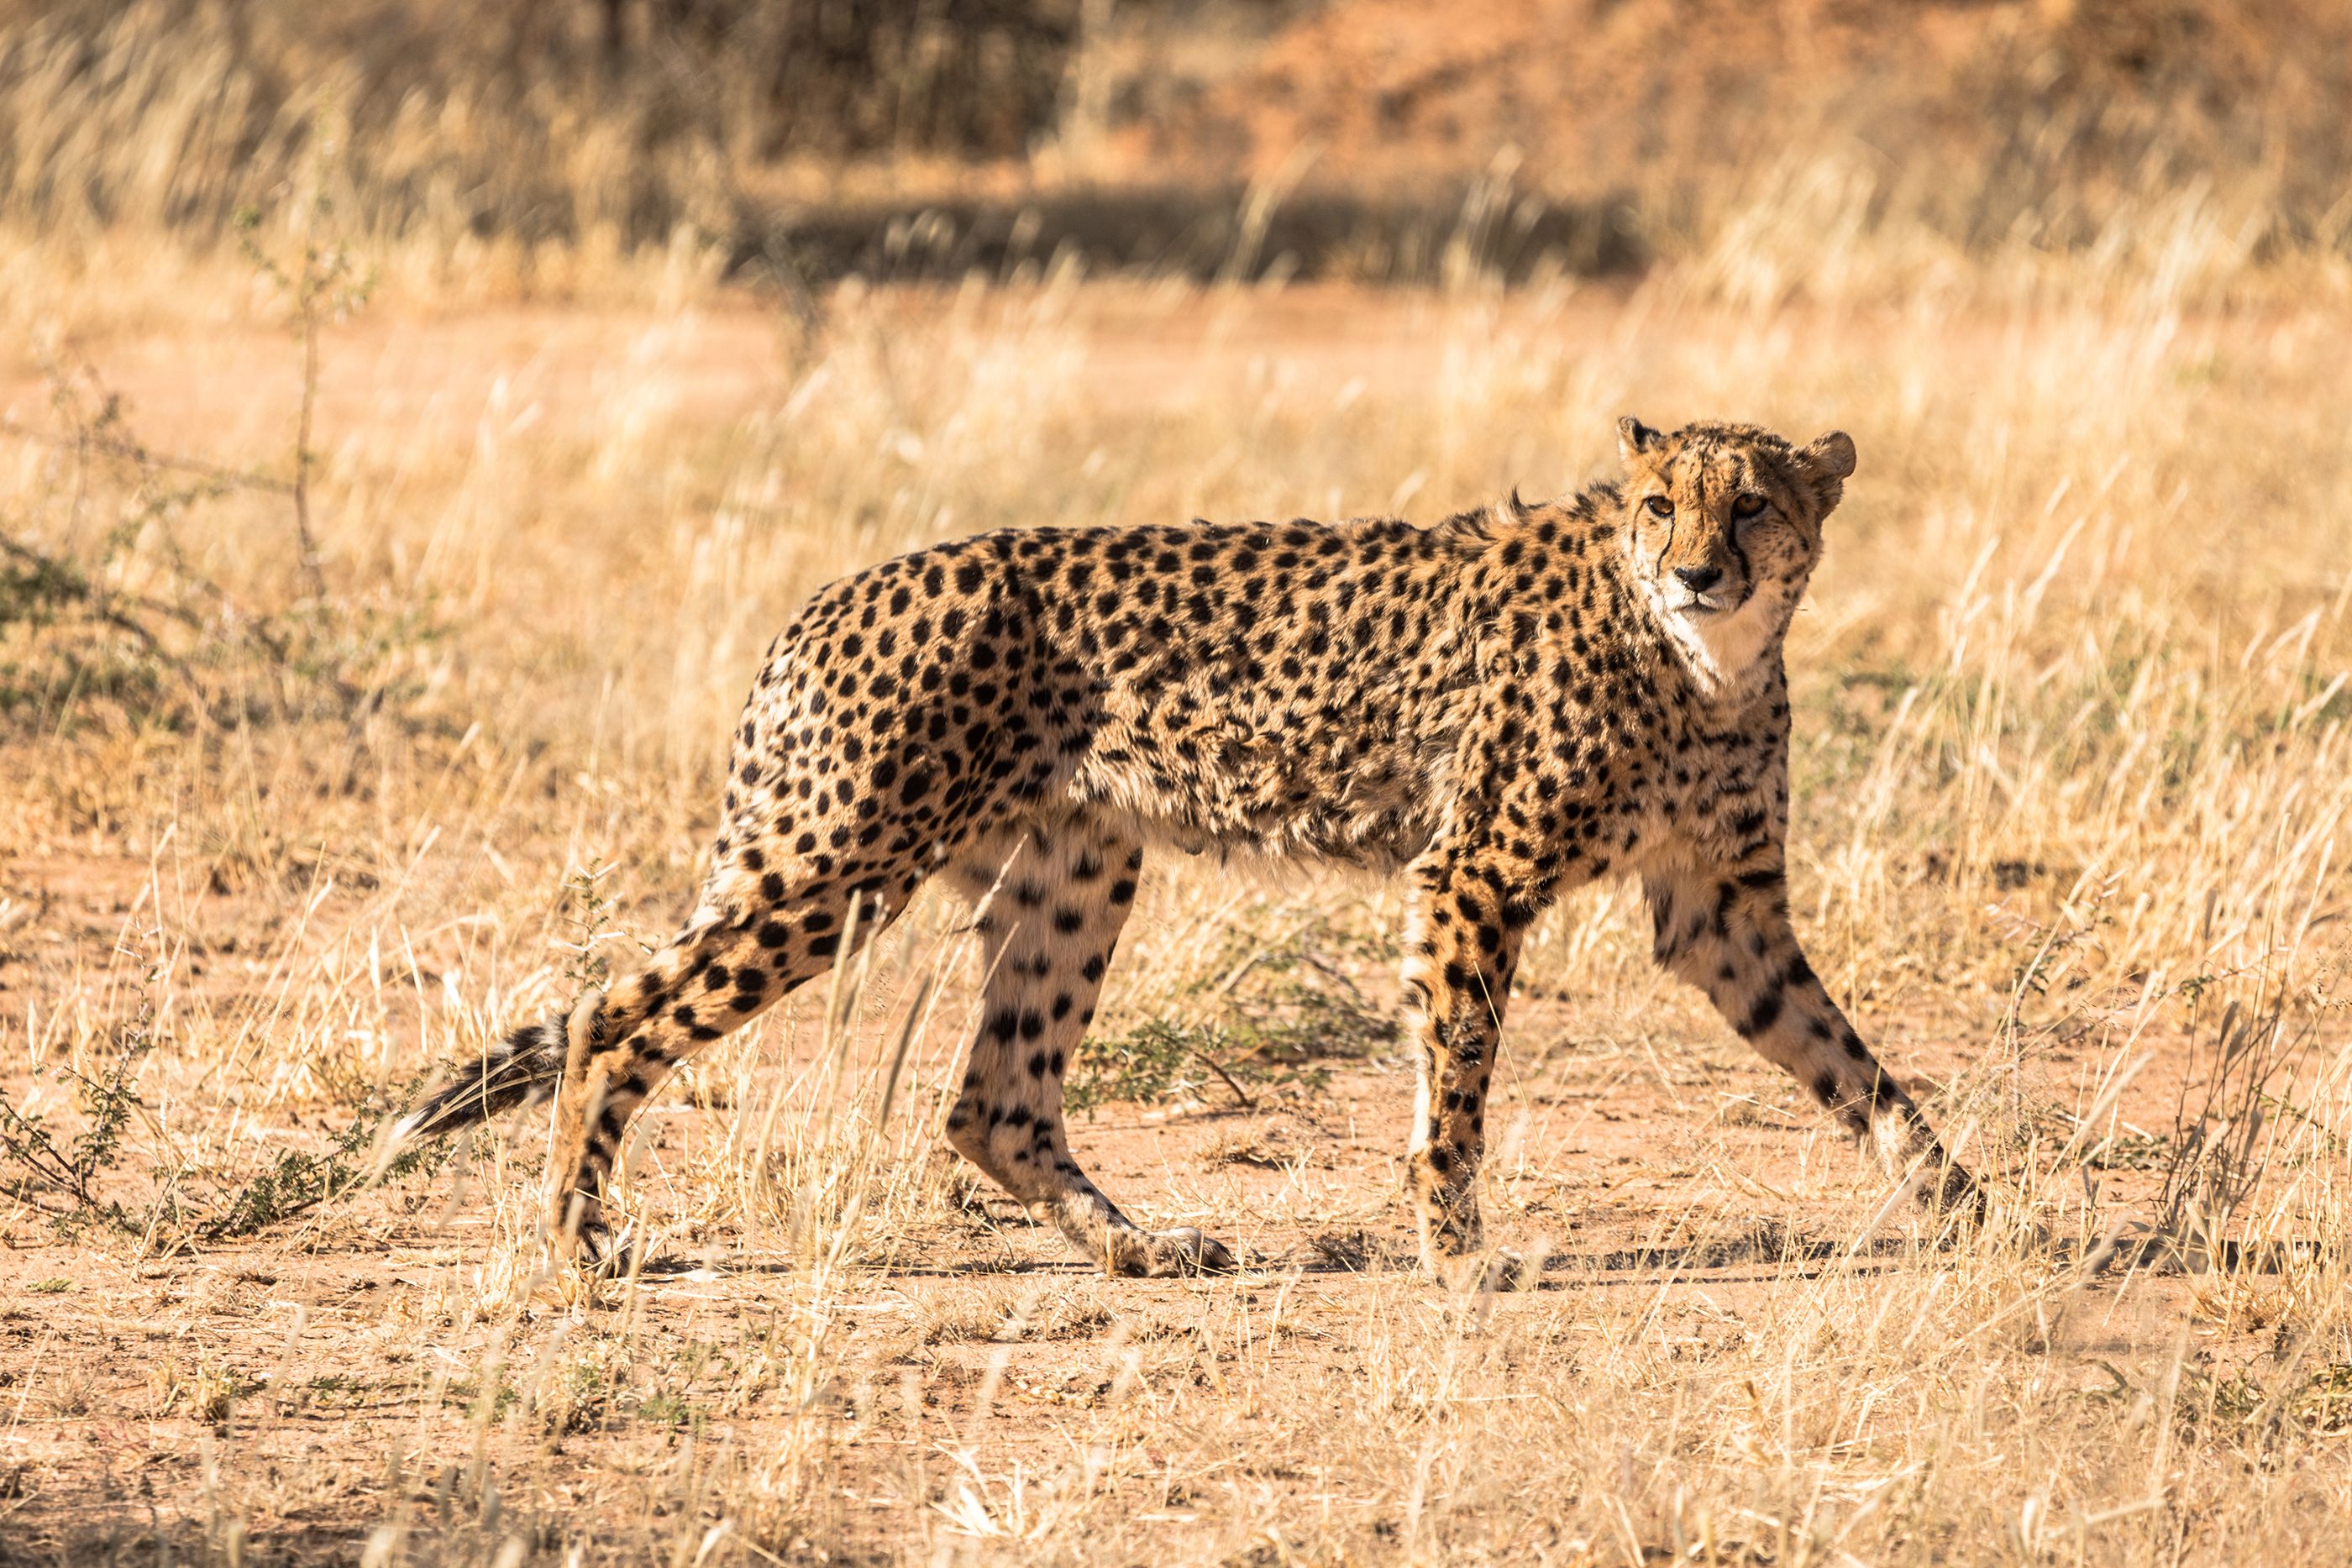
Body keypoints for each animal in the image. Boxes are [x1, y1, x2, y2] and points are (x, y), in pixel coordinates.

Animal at [390, 415, 1977, 1278]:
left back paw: (1140, 1247)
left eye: (1753, 502)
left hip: (1077, 866)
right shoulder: (1473, 874)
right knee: (607, 1014)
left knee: (993, 1098)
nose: (1699, 567)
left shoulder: (1724, 908)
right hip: (840, 864)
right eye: (1659, 505)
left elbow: (1849, 1058)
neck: (1703, 660)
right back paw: (580, 1240)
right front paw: (1457, 1249)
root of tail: (843, 588)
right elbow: (1457, 1076)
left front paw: (1967, 1199)